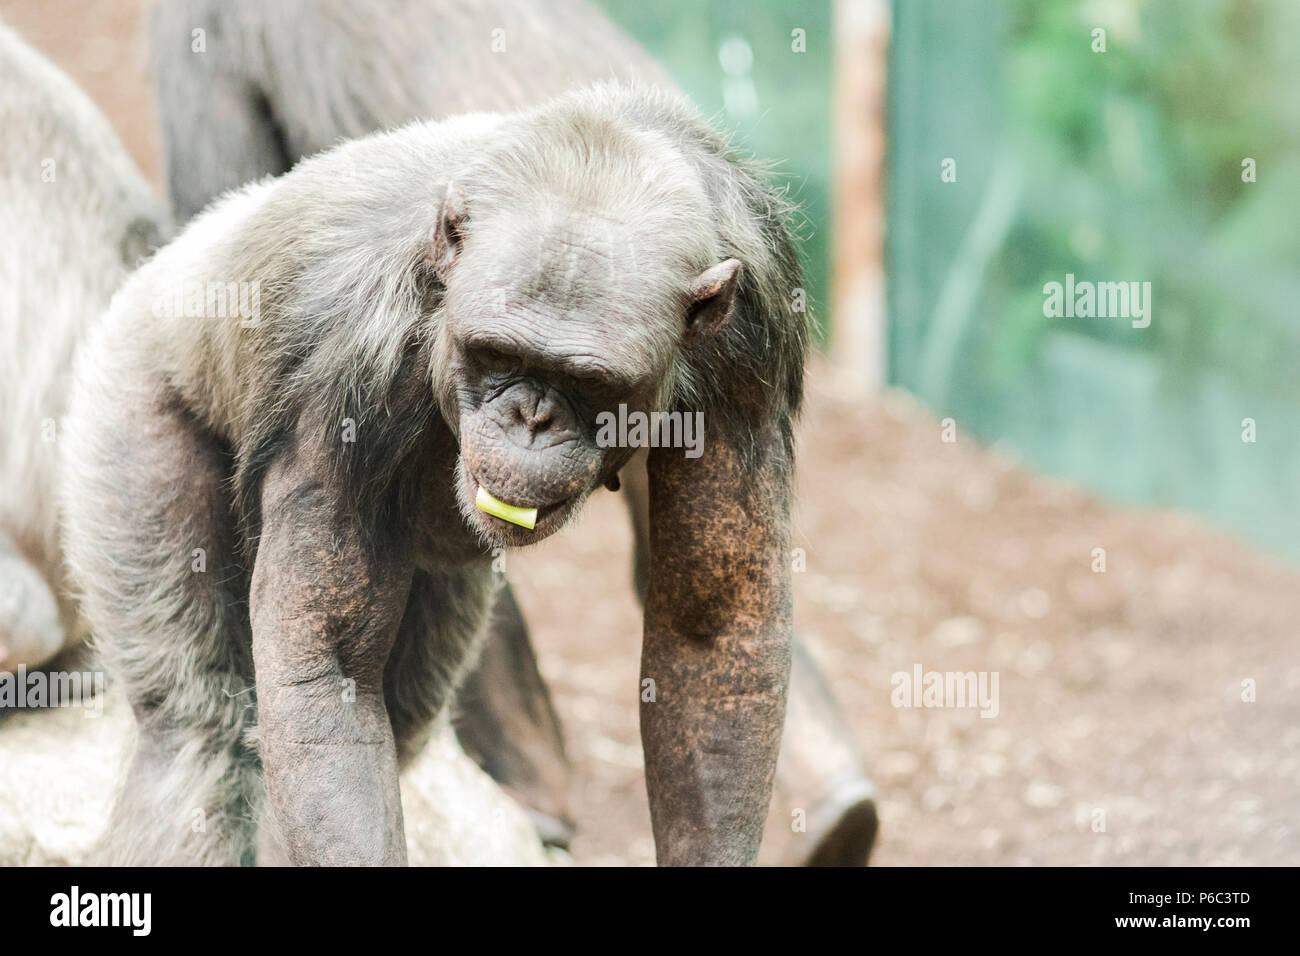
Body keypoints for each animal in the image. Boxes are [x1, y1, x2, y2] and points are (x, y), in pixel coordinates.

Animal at [147, 0, 877, 862]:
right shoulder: (342, 365)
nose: (530, 418)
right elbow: (328, 663)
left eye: (590, 384)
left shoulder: (752, 333)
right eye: (496, 354)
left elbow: (713, 624)